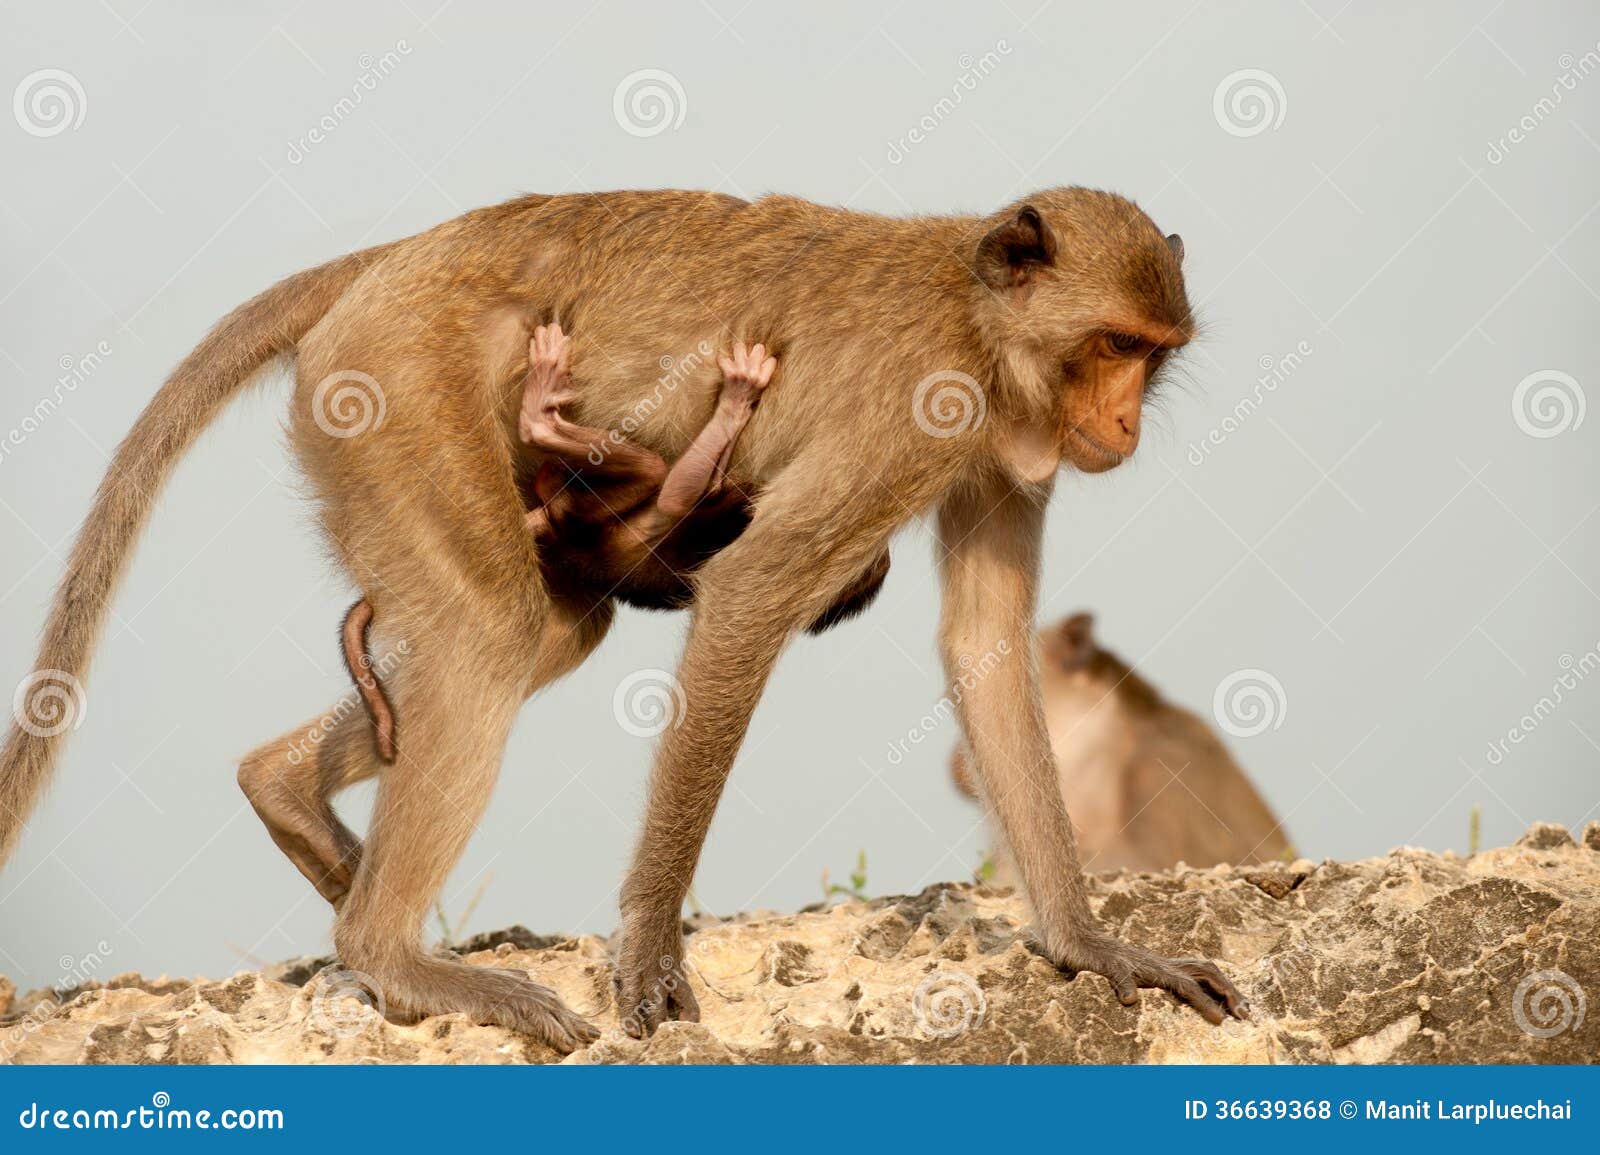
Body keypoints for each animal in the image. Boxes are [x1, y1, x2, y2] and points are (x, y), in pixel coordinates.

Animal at [340, 326, 893, 763]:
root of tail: (553, 533)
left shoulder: (729, 518)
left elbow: (677, 497)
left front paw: (738, 396)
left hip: (578, 509)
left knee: (649, 473)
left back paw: (540, 411)